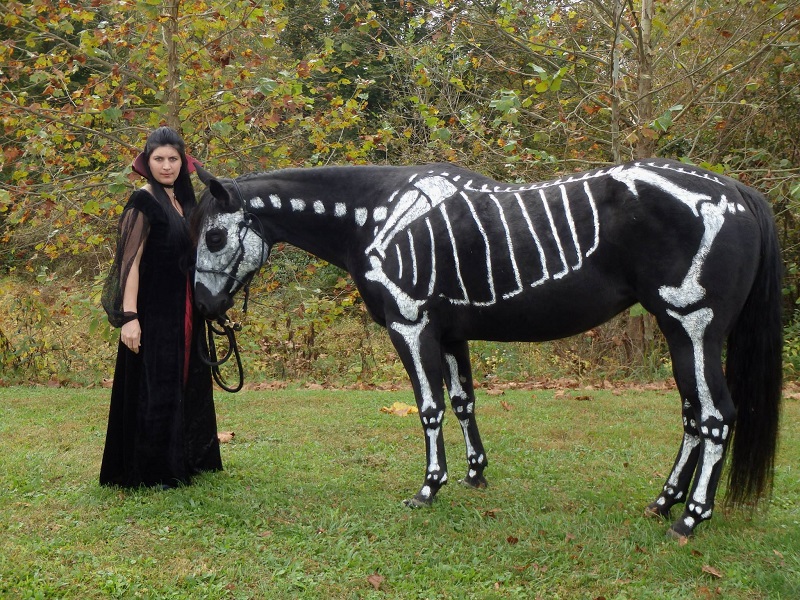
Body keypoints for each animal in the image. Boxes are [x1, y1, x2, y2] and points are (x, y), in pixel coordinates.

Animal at [190, 159, 782, 538]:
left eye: (214, 237)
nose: (204, 306)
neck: (378, 215)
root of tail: (738, 193)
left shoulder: (410, 325)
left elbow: (428, 408)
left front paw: (429, 488)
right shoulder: (452, 332)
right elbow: (462, 402)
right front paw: (475, 475)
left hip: (693, 326)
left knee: (715, 416)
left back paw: (691, 517)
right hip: (679, 333)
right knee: (691, 415)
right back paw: (662, 503)